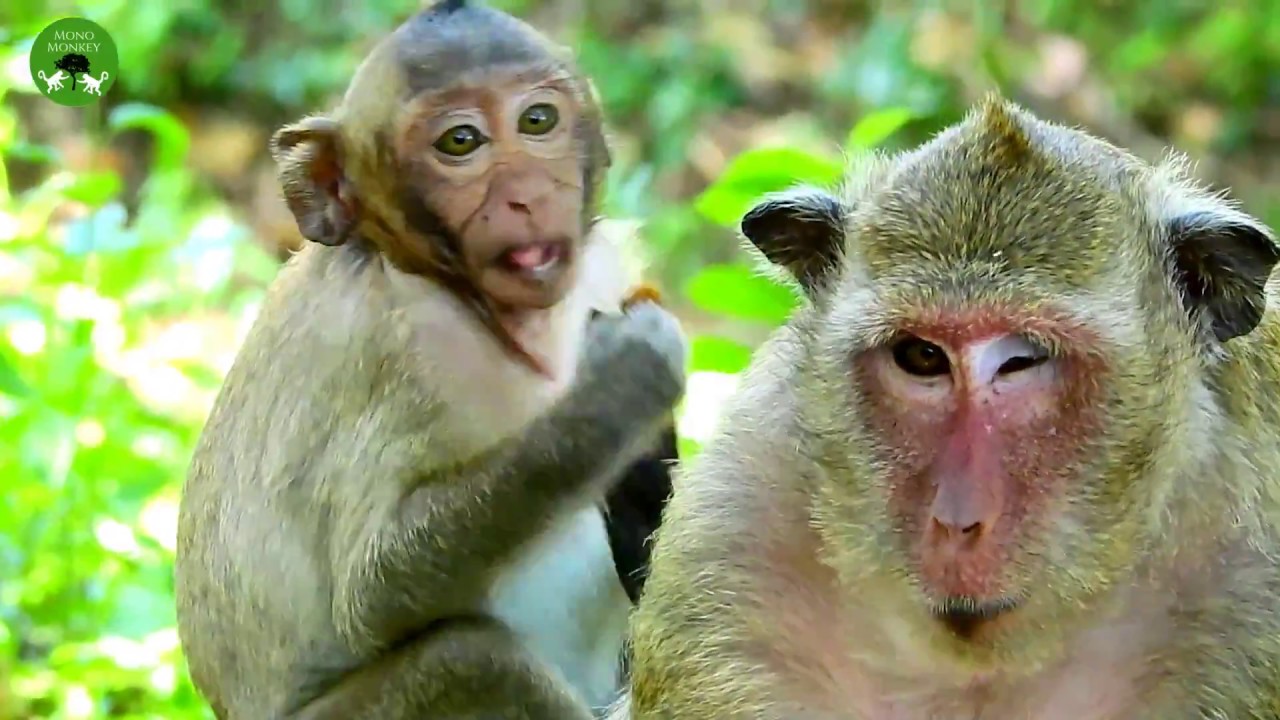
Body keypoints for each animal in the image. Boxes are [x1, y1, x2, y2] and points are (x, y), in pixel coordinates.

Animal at [173, 2, 687, 719]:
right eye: (460, 142)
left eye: (537, 121)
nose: (528, 193)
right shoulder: (399, 347)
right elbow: (371, 592)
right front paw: (622, 387)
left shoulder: (607, 267)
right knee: (473, 658)